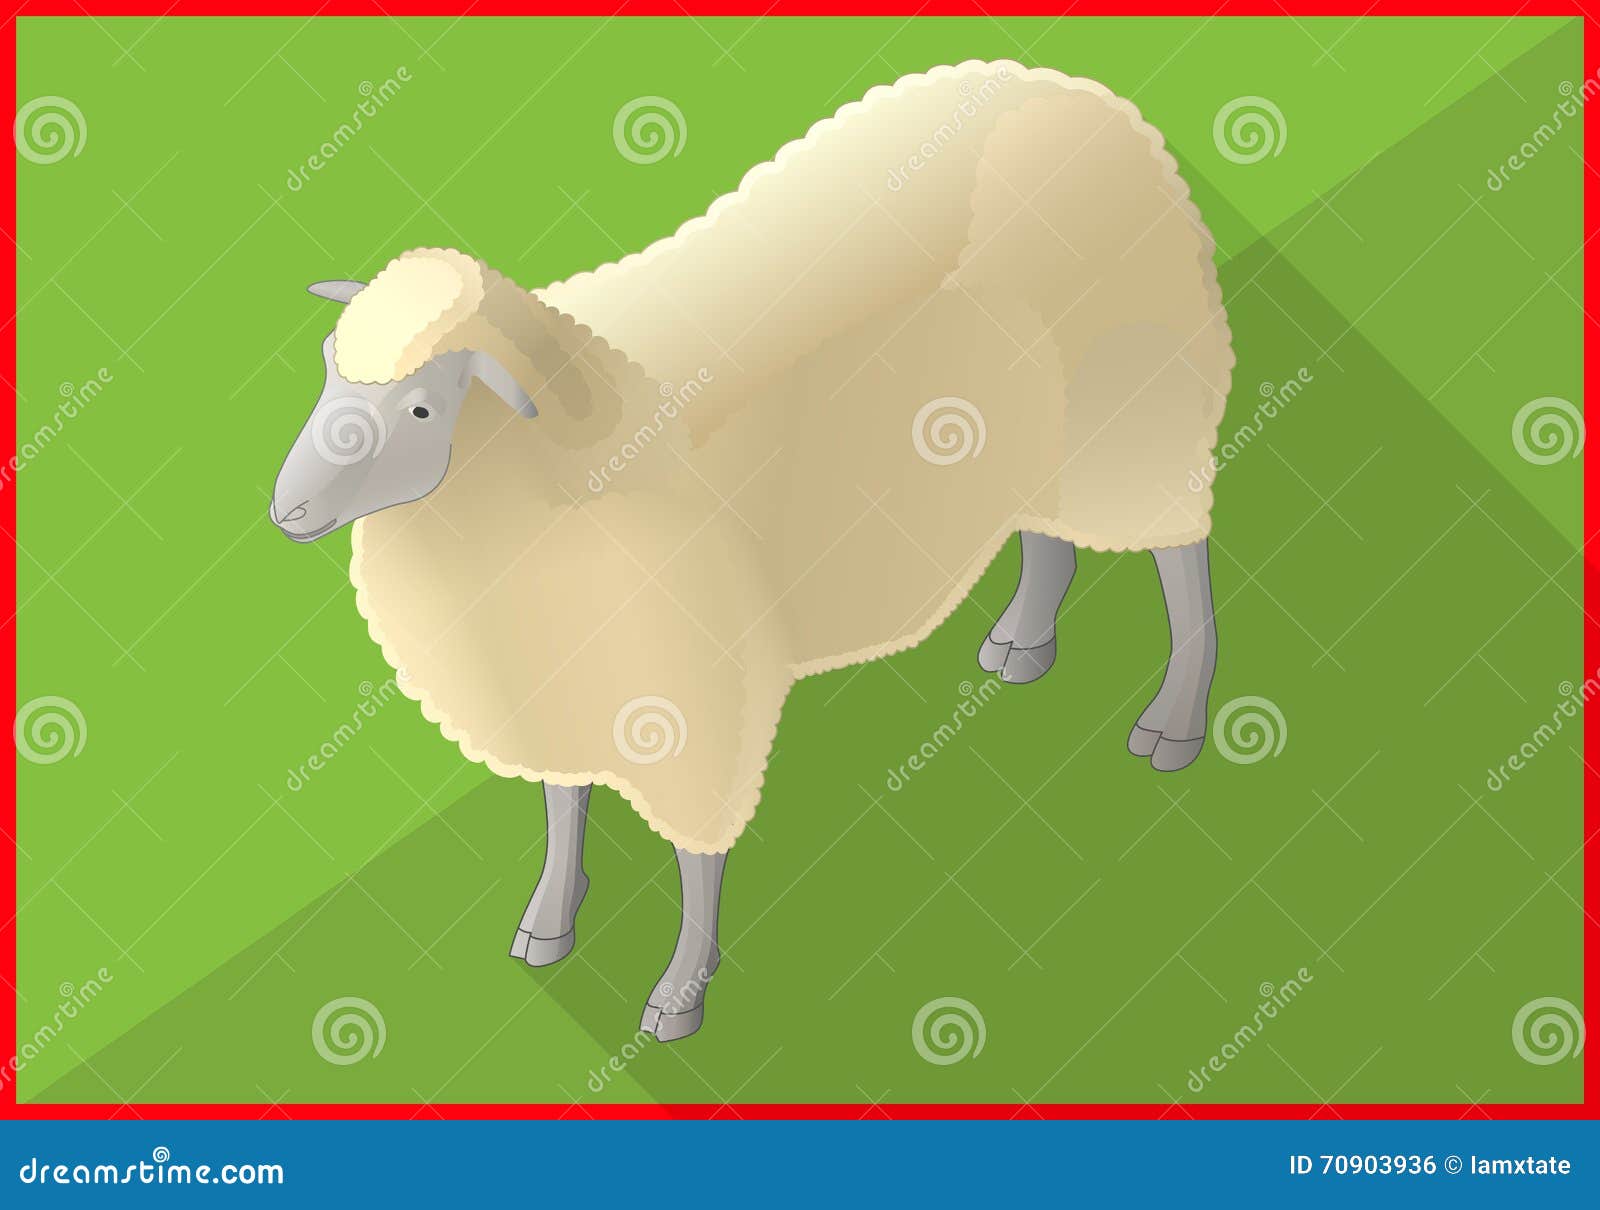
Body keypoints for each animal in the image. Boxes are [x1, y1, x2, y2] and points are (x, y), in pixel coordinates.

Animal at [268, 60, 1231, 1042]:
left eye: (423, 407)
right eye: (328, 368)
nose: (286, 509)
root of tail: (1075, 91)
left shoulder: (691, 698)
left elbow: (697, 858)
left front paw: (680, 991)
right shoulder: (569, 687)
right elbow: (564, 802)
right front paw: (550, 918)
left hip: (1142, 424)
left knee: (1182, 566)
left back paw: (1175, 722)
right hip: (1032, 440)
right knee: (1046, 534)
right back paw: (1022, 641)